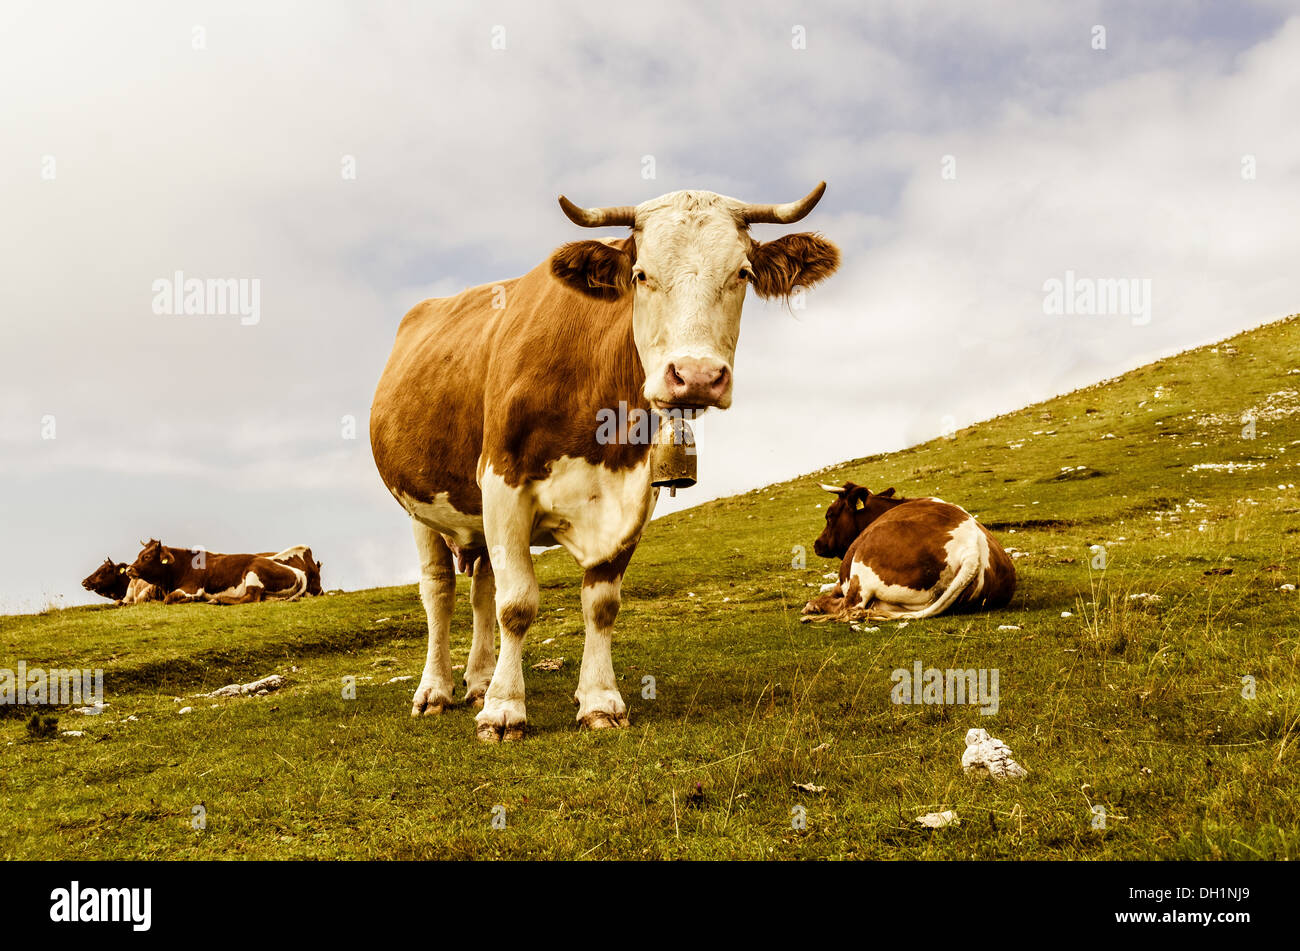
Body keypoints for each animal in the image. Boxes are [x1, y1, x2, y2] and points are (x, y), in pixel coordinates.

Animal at [127, 540, 310, 605]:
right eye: (140, 554)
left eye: (147, 556)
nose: (129, 569)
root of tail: (298, 572)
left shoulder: (192, 588)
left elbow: (169, 599)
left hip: (254, 572)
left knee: (250, 597)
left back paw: (218, 600)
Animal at [371, 184, 840, 741]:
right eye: (641, 275)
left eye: (742, 273)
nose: (697, 376)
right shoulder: (503, 484)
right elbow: (517, 603)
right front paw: (505, 710)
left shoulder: (633, 496)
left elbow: (600, 605)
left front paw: (598, 700)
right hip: (419, 506)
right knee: (439, 592)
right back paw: (436, 690)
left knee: (480, 587)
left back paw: (480, 681)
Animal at [803, 482, 1016, 621]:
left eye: (829, 515)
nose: (817, 544)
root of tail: (972, 551)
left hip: (862, 570)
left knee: (849, 607)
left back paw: (812, 607)